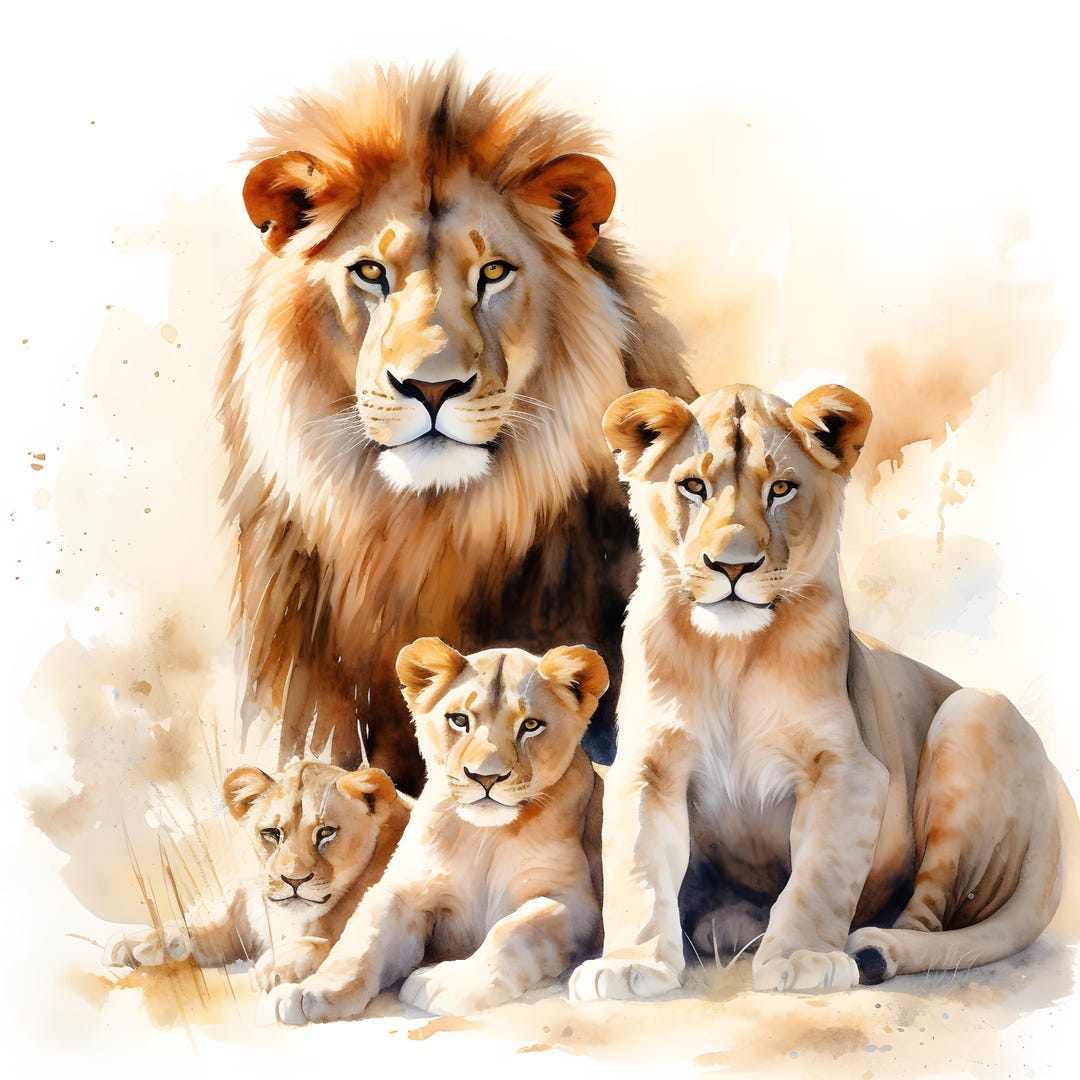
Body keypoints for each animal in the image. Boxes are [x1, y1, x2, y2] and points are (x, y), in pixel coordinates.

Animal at [103, 760, 411, 990]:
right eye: (272, 833)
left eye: (326, 832)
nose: (294, 880)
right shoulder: (237, 921)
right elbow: (202, 932)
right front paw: (141, 943)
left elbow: (334, 941)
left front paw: (279, 964)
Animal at [259, 638, 606, 1024]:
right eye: (459, 720)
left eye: (531, 725)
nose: (486, 777)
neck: (484, 836)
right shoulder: (404, 891)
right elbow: (362, 940)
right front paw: (312, 992)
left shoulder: (575, 903)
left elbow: (512, 932)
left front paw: (443, 984)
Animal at [569, 381, 1070, 999]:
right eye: (693, 486)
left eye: (781, 489)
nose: (731, 566)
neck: (731, 656)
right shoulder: (648, 764)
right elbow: (637, 872)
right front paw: (628, 964)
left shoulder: (850, 770)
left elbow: (820, 875)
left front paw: (803, 957)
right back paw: (730, 927)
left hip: (974, 710)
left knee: (928, 913)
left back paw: (868, 949)